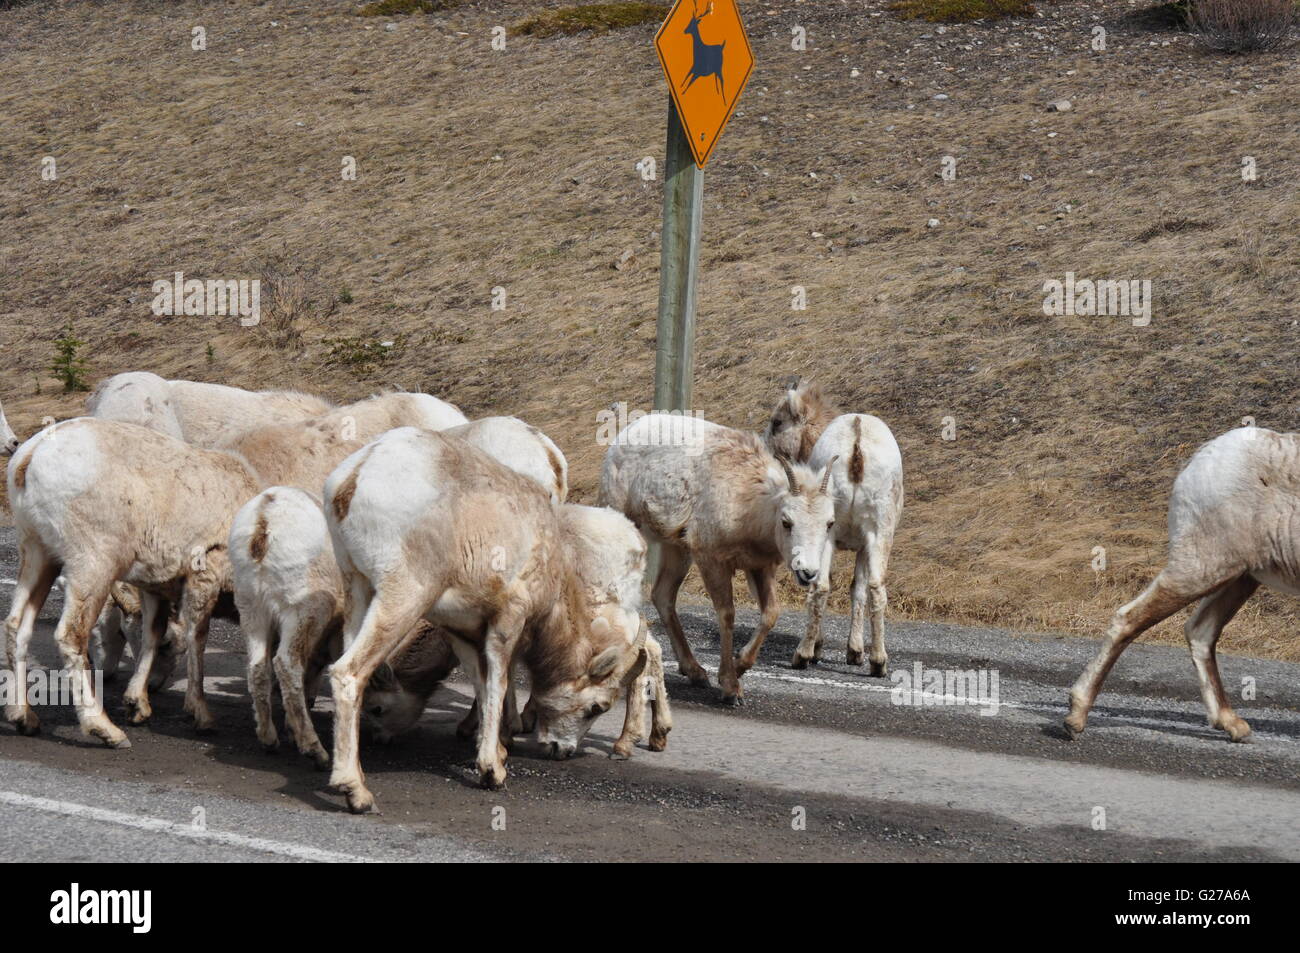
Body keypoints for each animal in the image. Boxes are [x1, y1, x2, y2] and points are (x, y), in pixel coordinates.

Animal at [600, 413, 836, 705]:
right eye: (786, 521)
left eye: (829, 523)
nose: (808, 572)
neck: (750, 507)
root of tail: (623, 435)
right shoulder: (712, 559)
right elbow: (726, 614)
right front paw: (730, 688)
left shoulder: (759, 565)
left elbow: (771, 613)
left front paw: (740, 665)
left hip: (676, 548)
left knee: (662, 595)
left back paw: (695, 672)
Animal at [764, 381, 903, 674]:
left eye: (777, 422)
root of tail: (856, 444)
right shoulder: (864, 546)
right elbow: (859, 590)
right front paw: (856, 653)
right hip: (880, 534)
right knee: (877, 589)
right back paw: (878, 663)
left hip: (828, 533)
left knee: (820, 586)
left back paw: (803, 654)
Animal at [1066, 426, 1300, 743]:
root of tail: (1201, 460)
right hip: (1200, 570)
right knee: (1129, 619)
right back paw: (1075, 718)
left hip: (1238, 578)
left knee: (1201, 633)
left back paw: (1231, 724)